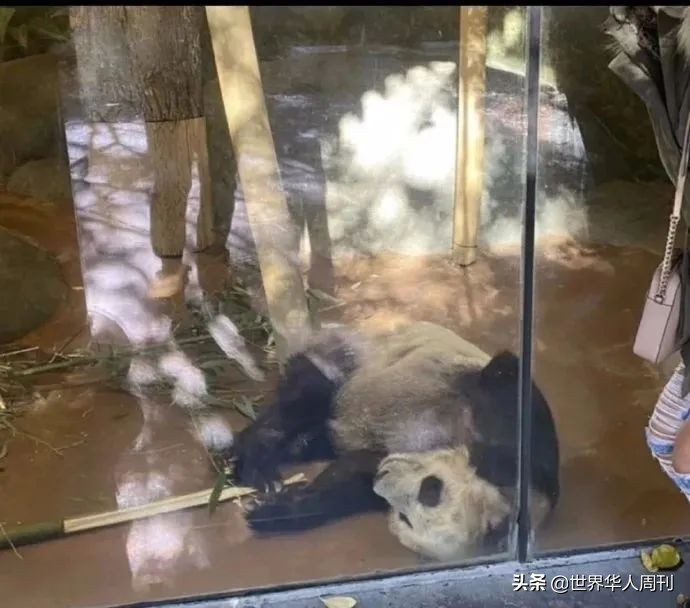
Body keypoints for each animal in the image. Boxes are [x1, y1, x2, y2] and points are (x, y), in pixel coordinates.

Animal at [228, 321, 560, 561]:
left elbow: (350, 480)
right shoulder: (498, 408)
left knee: (316, 435)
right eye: (431, 489)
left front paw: (275, 511)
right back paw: (257, 465)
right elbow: (505, 377)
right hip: (343, 359)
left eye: (404, 518)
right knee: (305, 398)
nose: (384, 479)